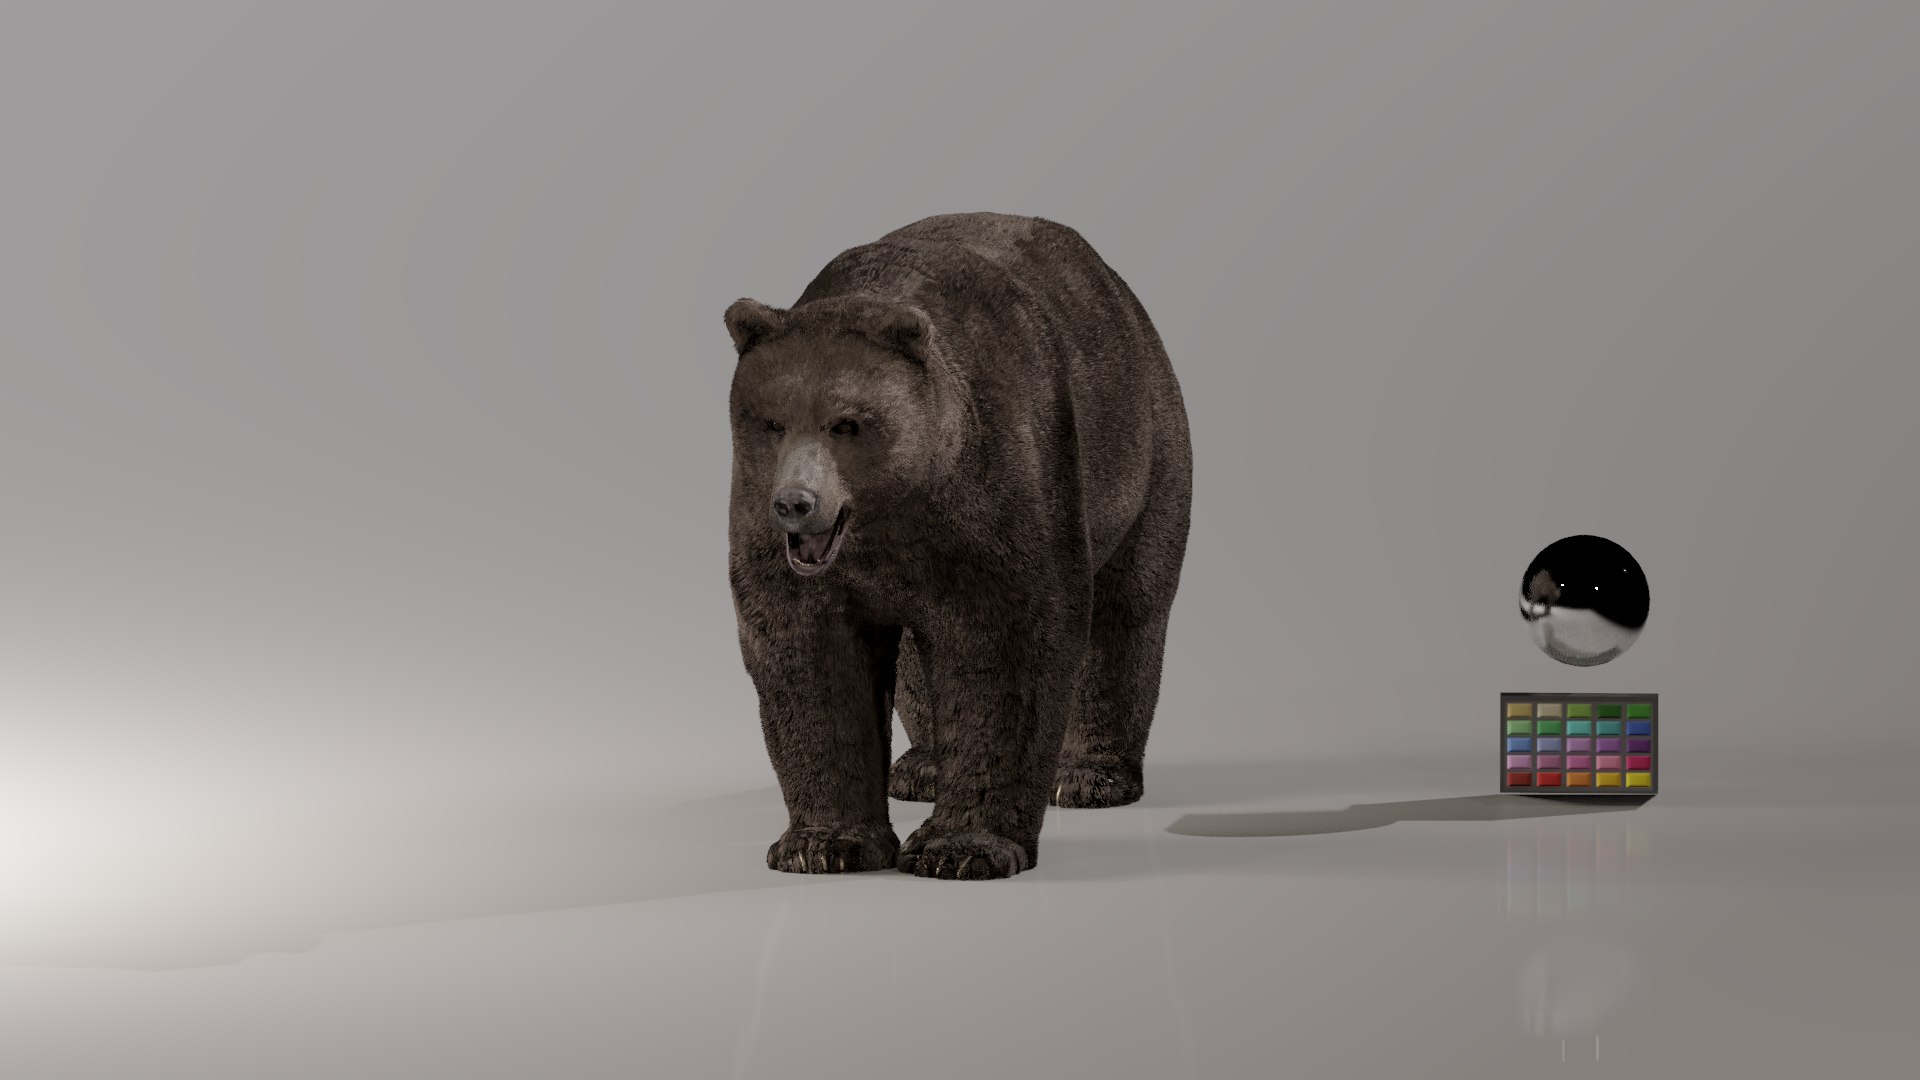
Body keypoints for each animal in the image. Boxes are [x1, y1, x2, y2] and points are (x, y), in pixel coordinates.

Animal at [725, 212, 1191, 880]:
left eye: (846, 423)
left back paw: (1087, 775)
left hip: (1142, 452)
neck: (892, 512)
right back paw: (920, 767)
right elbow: (807, 651)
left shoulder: (998, 480)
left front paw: (962, 847)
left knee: (1126, 609)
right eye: (771, 421)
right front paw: (823, 842)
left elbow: (1006, 641)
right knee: (913, 657)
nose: (796, 502)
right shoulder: (768, 525)